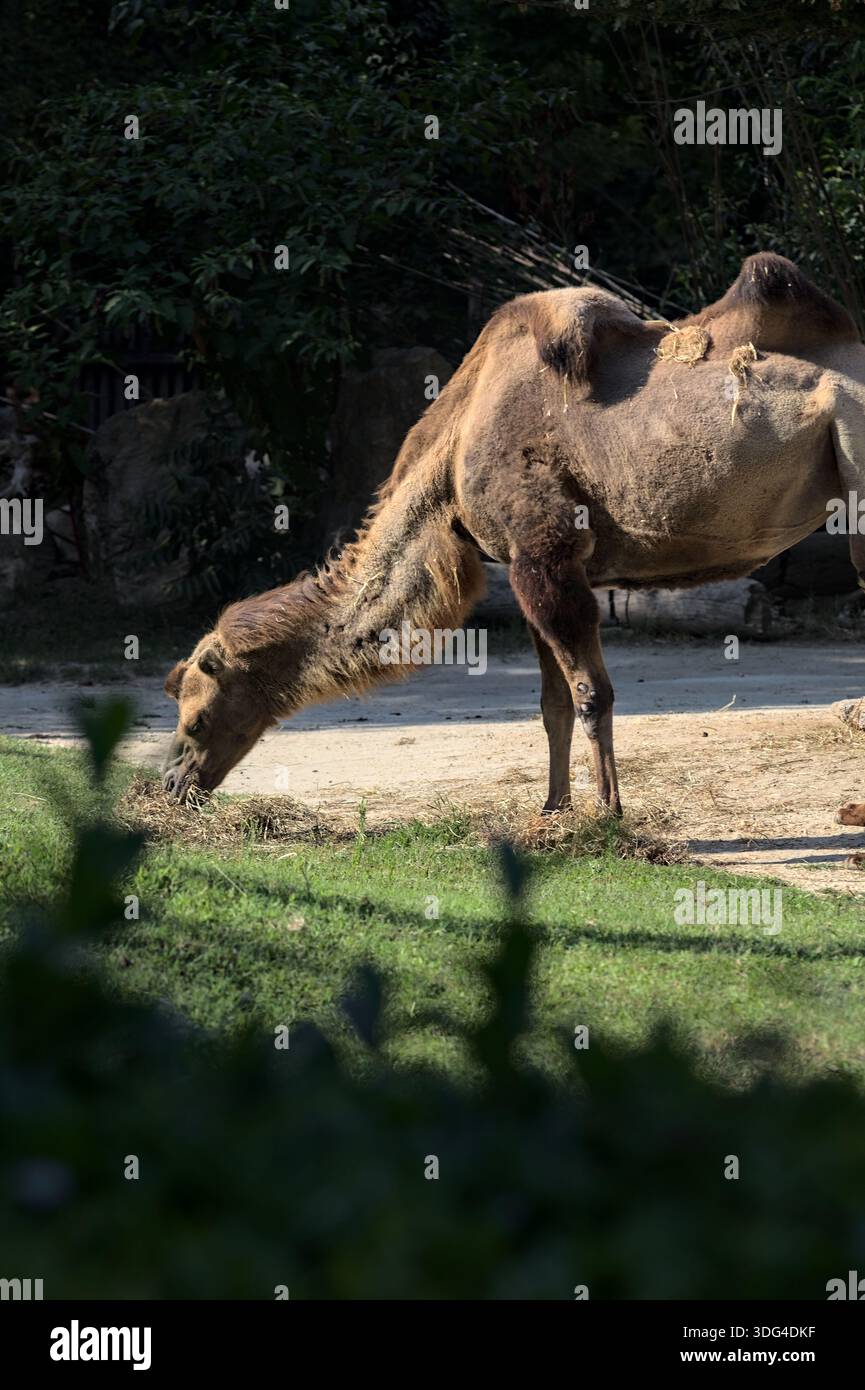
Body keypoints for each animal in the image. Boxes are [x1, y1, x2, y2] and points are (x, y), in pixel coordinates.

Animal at [163, 252, 865, 816]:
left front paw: (608, 815)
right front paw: (553, 808)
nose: (171, 784)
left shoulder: (544, 552)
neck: (449, 460)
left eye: (196, 719)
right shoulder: (534, 564)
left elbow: (591, 693)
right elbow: (552, 701)